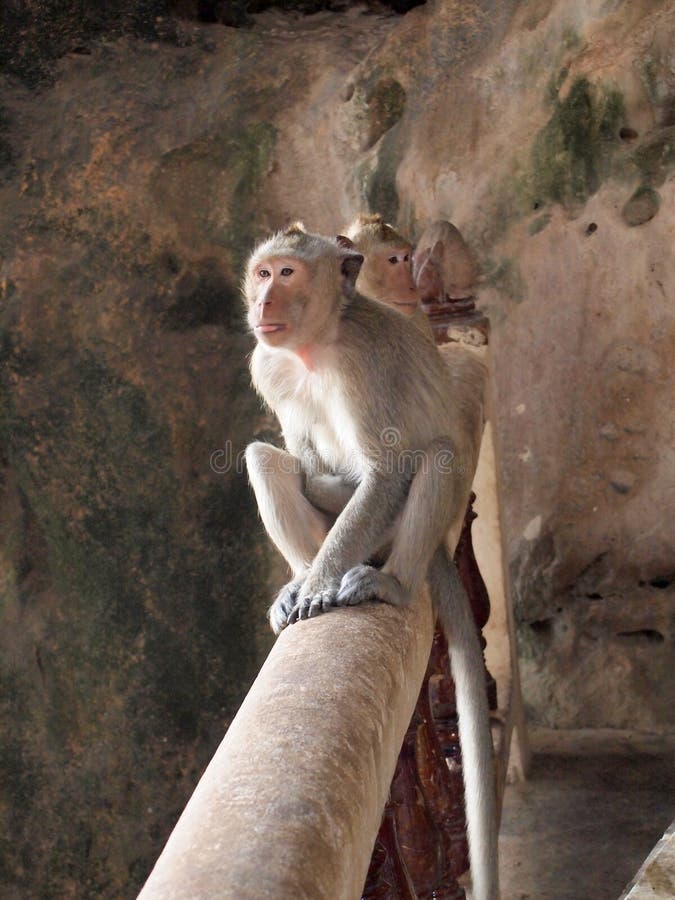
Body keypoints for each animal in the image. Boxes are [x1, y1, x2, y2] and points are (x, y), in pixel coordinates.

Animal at [242, 224, 498, 899]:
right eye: (263, 273)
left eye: (287, 274)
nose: (263, 302)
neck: (315, 347)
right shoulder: (268, 365)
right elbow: (303, 464)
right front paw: (307, 582)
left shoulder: (365, 359)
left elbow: (387, 470)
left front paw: (321, 583)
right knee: (263, 458)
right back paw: (301, 577)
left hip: (400, 539)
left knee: (433, 458)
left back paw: (389, 585)